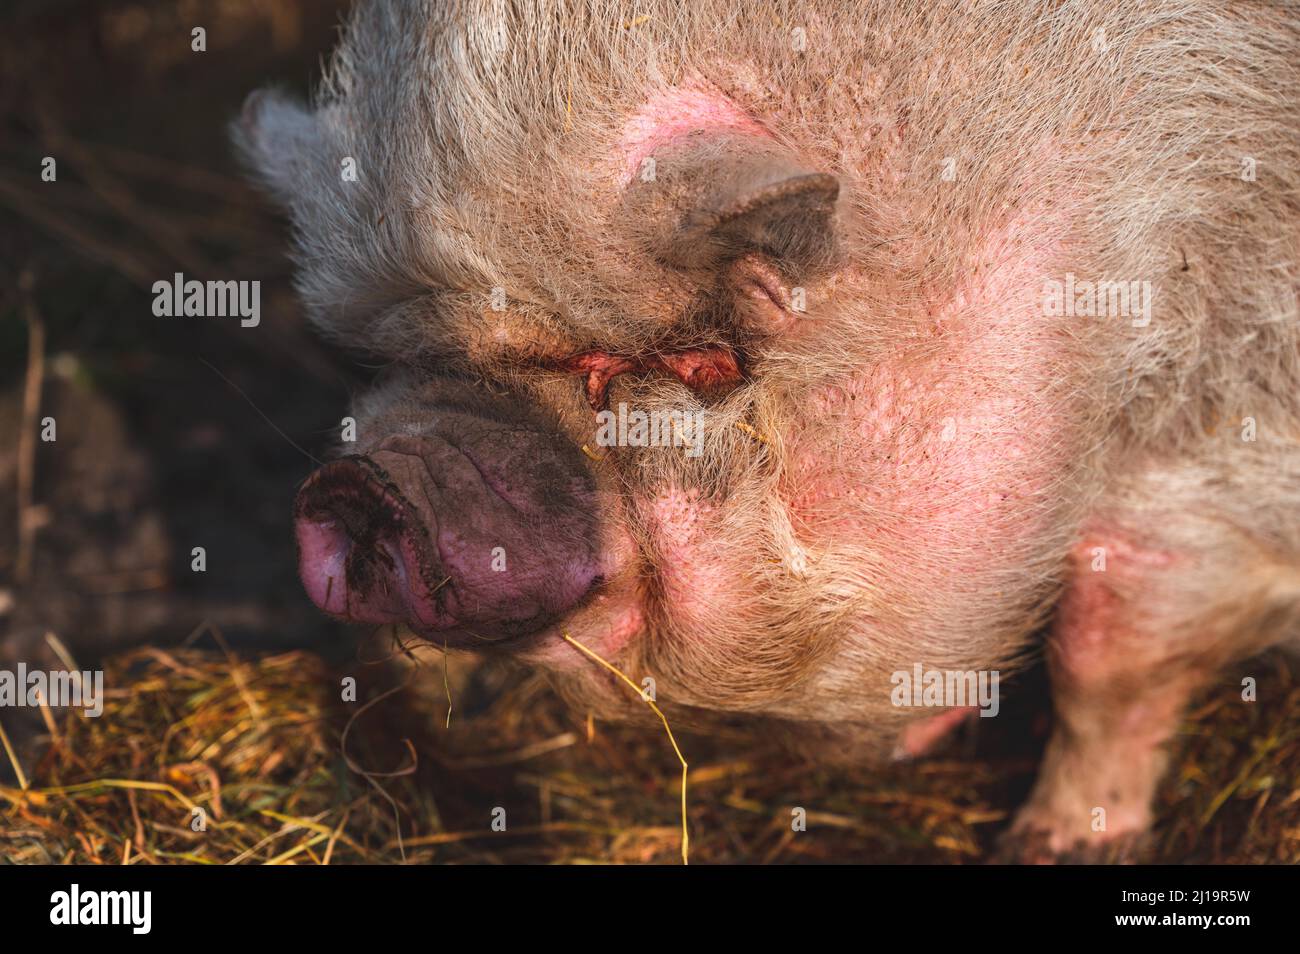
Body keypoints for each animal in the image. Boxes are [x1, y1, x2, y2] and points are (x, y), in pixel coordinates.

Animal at [235, 0, 1300, 861]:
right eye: (389, 358)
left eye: (697, 362)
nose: (372, 483)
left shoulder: (1225, 432)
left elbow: (1108, 653)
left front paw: (1046, 849)